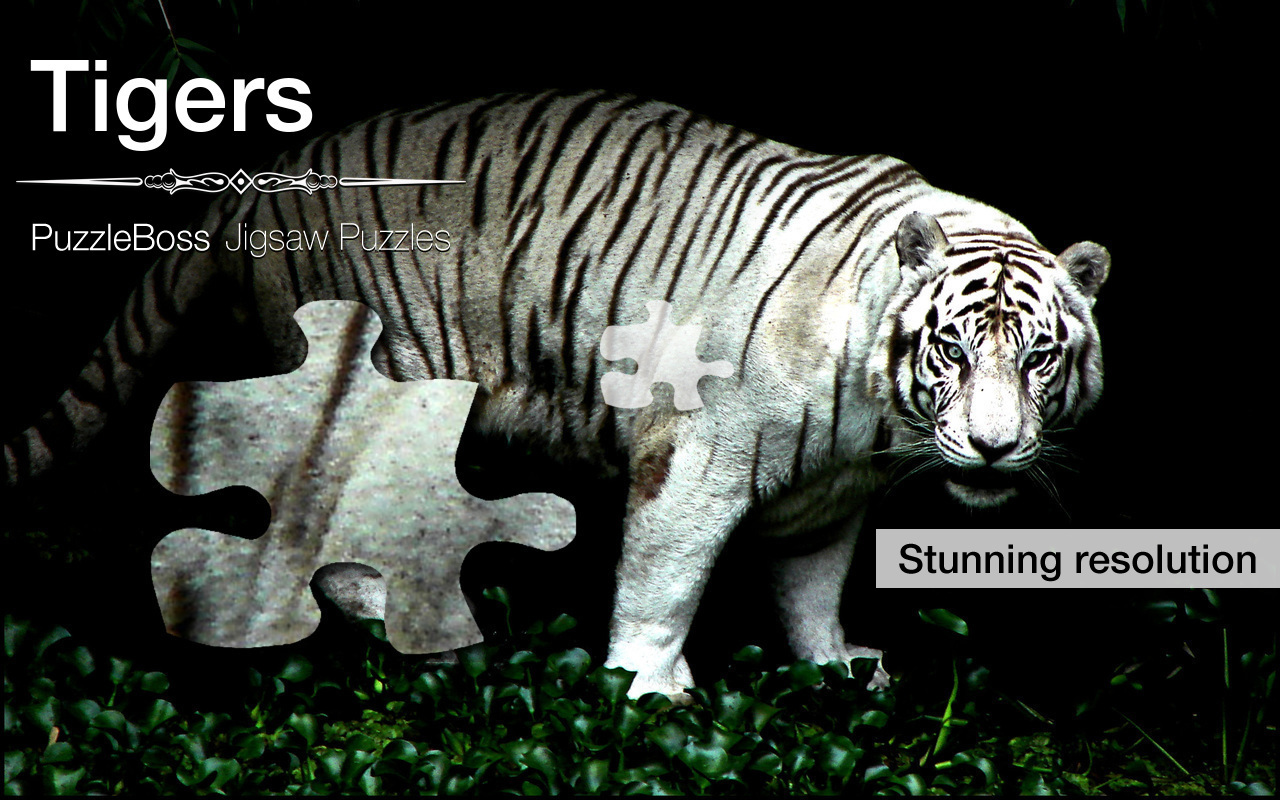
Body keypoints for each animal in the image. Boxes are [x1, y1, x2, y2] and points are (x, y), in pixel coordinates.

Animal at [4, 90, 1110, 700]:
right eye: (952, 349)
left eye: (1038, 359)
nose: (992, 448)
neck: (875, 413)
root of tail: (264, 174)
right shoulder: (695, 454)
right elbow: (665, 578)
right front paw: (651, 688)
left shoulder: (828, 496)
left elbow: (809, 587)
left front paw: (834, 664)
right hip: (381, 383)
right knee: (316, 520)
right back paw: (423, 628)